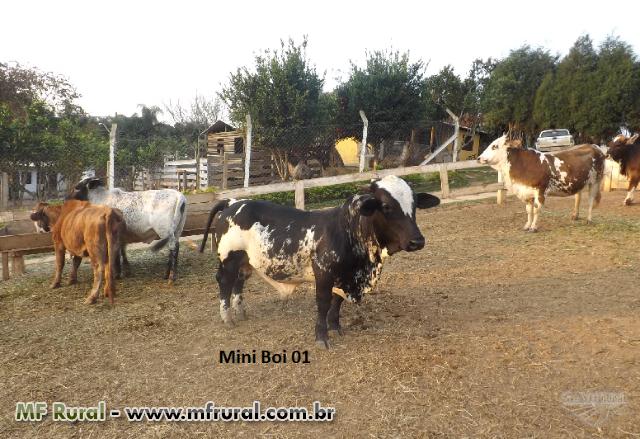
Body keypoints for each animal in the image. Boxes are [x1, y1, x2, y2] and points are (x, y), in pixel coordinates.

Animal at [199, 175, 441, 348]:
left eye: (415, 205)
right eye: (387, 206)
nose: (417, 241)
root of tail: (233, 202)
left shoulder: (343, 276)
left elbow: (337, 302)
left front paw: (335, 326)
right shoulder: (323, 274)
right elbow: (323, 303)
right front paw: (321, 335)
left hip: (245, 262)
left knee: (239, 282)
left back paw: (241, 311)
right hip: (230, 259)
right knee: (225, 282)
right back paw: (228, 317)